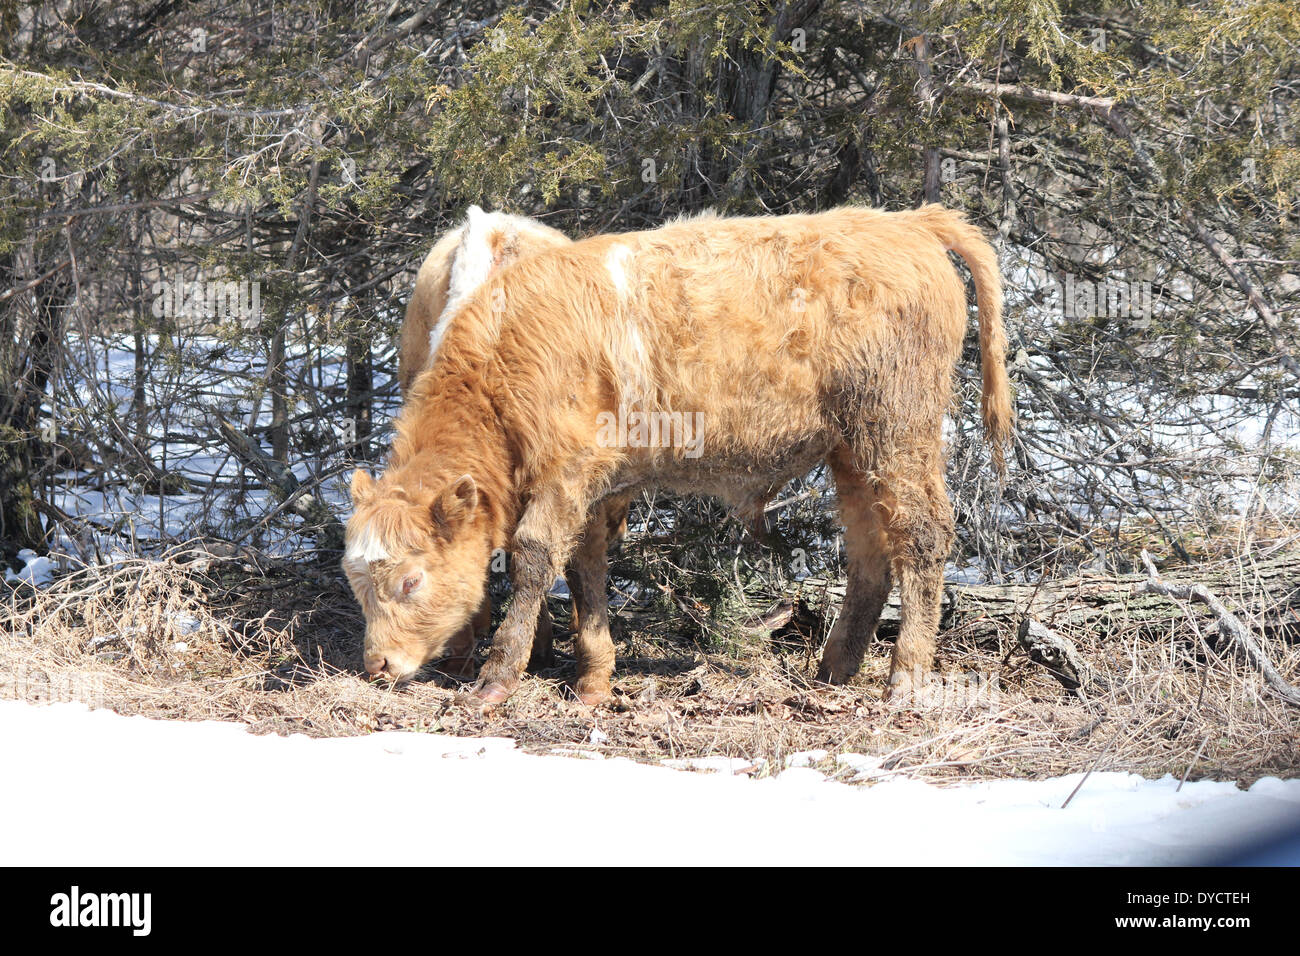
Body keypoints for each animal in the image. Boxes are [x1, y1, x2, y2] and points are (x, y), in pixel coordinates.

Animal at [344, 204, 1012, 706]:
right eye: (357, 581)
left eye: (409, 579)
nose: (377, 664)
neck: (508, 350)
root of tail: (907, 222)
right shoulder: (595, 486)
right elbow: (584, 569)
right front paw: (593, 679)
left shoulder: (566, 476)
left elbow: (535, 559)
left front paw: (497, 677)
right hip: (852, 452)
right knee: (870, 550)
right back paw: (834, 669)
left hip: (899, 434)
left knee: (923, 535)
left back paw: (906, 678)